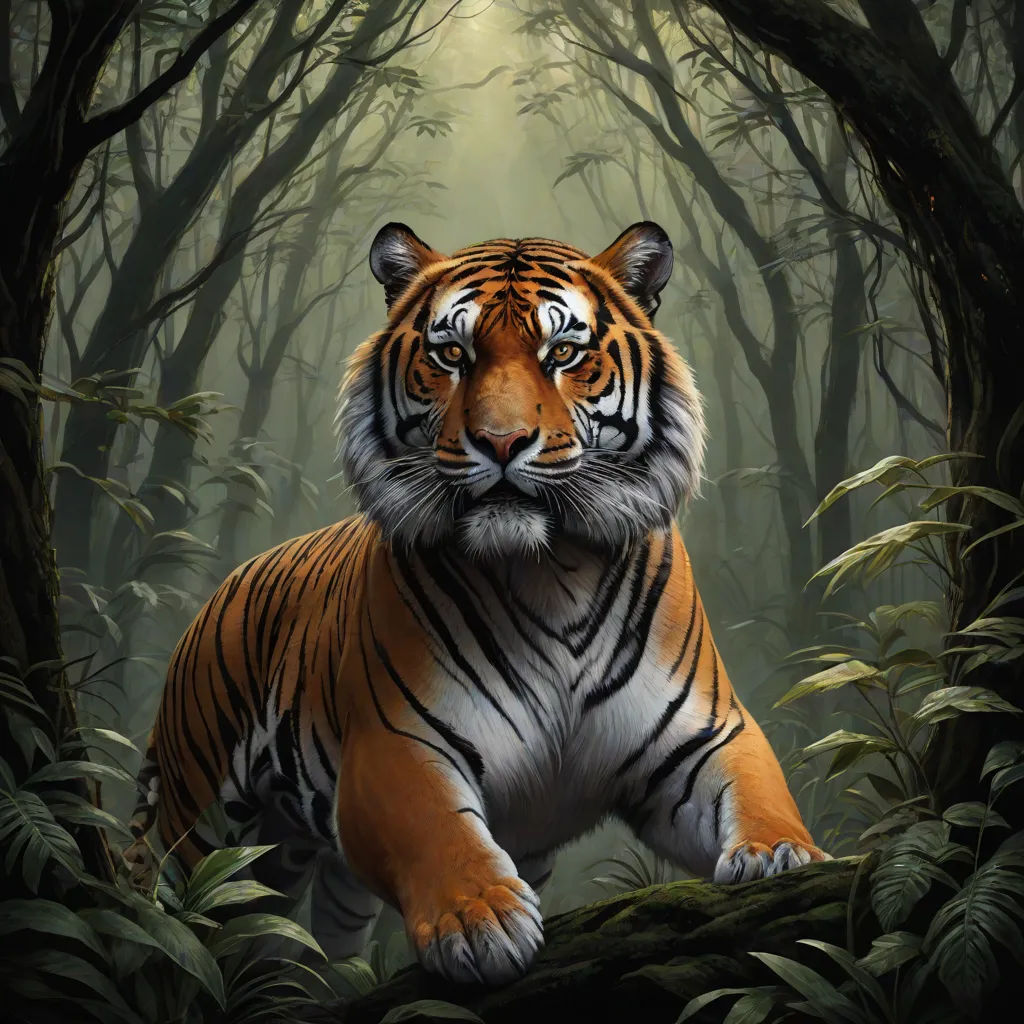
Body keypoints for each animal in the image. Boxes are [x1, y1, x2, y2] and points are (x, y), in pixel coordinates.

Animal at [127, 221, 827, 986]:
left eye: (563, 353)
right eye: (452, 354)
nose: (500, 441)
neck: (552, 570)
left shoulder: (702, 735)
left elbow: (760, 790)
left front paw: (783, 855)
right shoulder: (396, 744)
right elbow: (439, 833)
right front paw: (480, 921)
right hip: (197, 819)